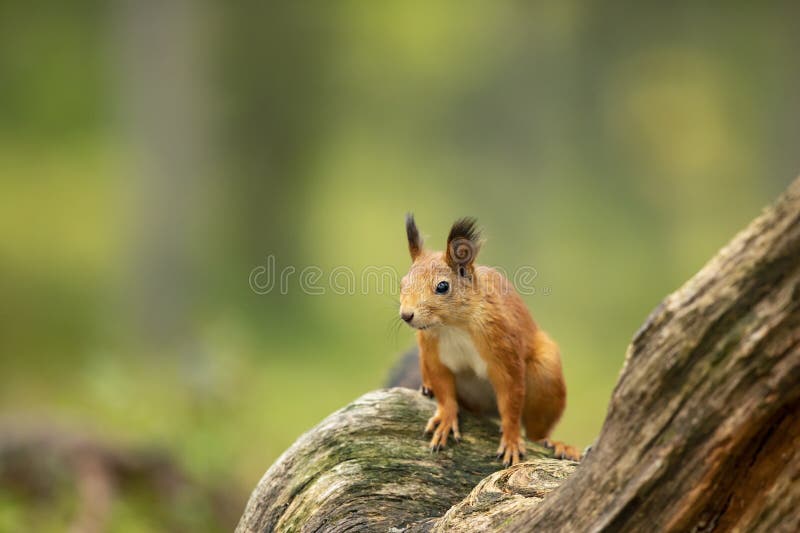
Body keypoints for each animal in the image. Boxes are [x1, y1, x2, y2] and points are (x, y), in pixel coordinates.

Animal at [398, 214, 581, 466]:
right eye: (402, 283)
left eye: (442, 286)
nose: (406, 315)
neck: (453, 326)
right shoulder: (432, 353)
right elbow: (444, 390)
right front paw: (445, 418)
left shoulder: (504, 347)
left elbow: (511, 398)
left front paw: (511, 440)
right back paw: (427, 388)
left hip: (546, 374)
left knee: (537, 432)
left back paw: (558, 444)